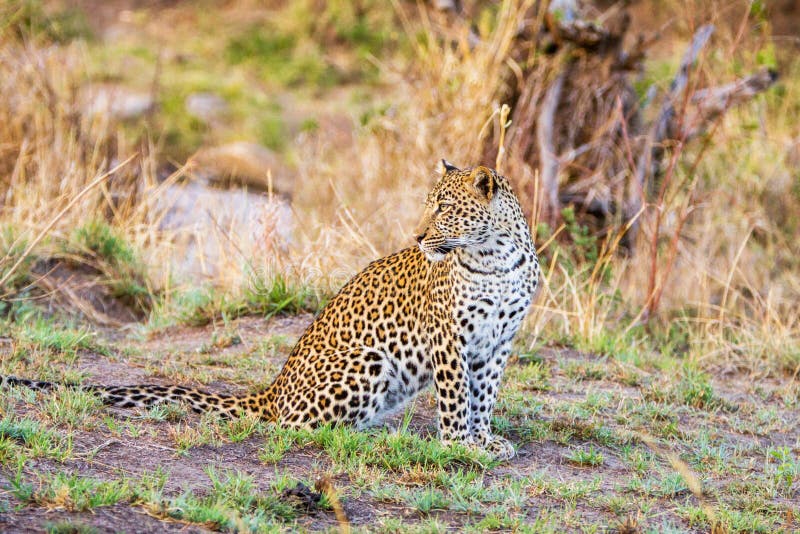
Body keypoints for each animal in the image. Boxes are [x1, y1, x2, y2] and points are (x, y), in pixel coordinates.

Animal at [1, 161, 540, 460]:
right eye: (430, 206)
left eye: (445, 208)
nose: (419, 235)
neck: (496, 258)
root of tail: (274, 390)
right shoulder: (449, 338)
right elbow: (456, 401)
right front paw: (459, 446)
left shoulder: (498, 343)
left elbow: (483, 397)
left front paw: (484, 440)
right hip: (367, 361)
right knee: (298, 428)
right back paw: (375, 440)